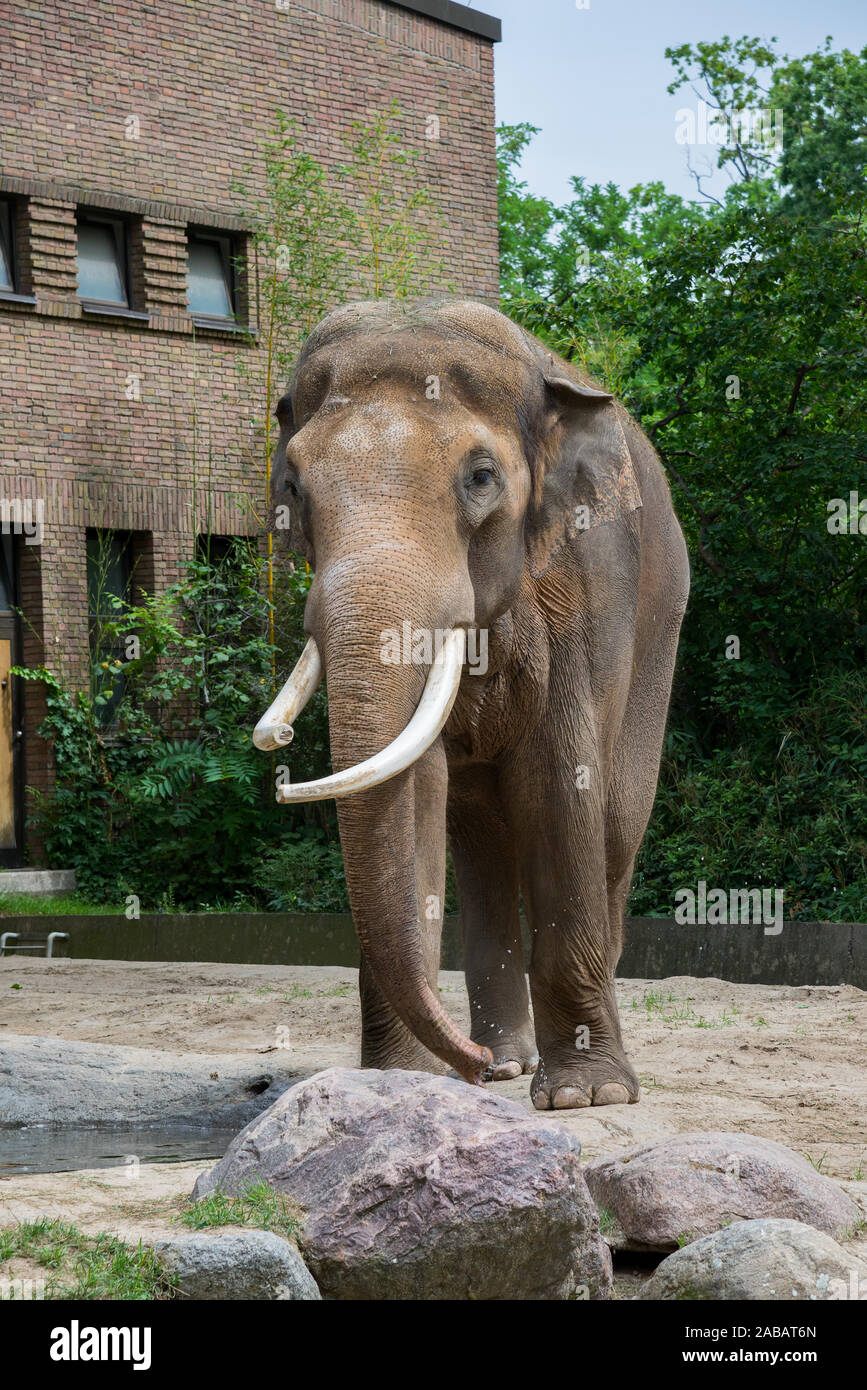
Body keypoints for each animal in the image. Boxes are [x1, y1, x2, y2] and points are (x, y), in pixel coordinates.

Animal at [254, 297, 689, 1110]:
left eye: (481, 477)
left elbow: (560, 780)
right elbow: (414, 786)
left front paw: (586, 1097)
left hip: (661, 633)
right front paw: (397, 1083)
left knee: (615, 822)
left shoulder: (586, 578)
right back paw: (510, 1062)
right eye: (291, 487)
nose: (473, 1064)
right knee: (481, 841)